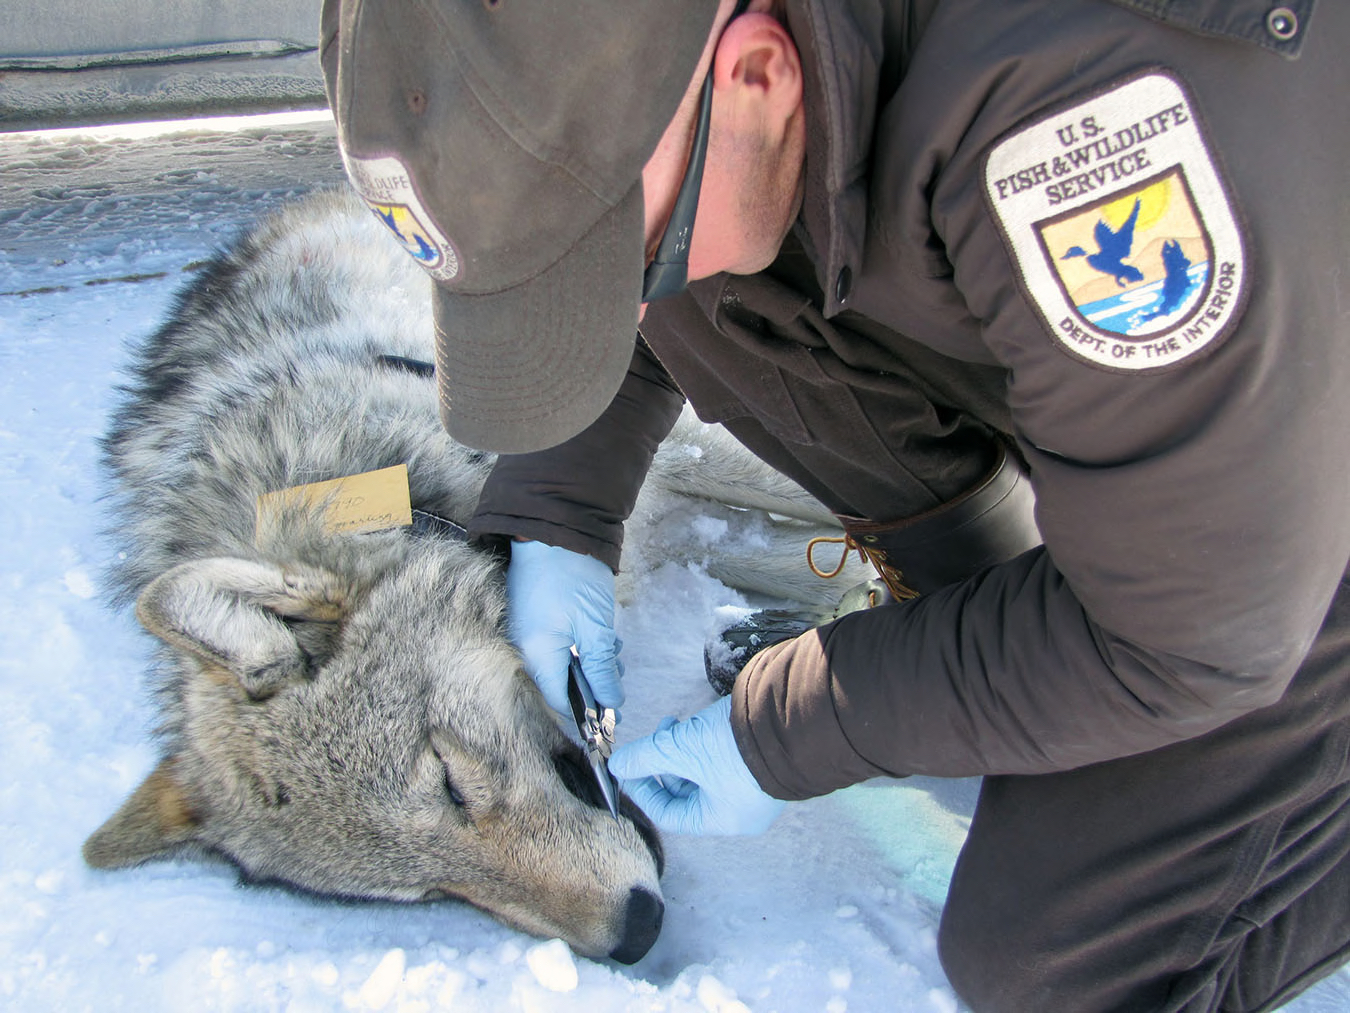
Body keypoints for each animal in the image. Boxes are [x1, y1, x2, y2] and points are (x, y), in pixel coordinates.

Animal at [84, 189, 870, 964]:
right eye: (434, 892)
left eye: (448, 779)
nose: (636, 933)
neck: (390, 483)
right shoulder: (632, 524)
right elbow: (818, 562)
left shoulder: (672, 447)